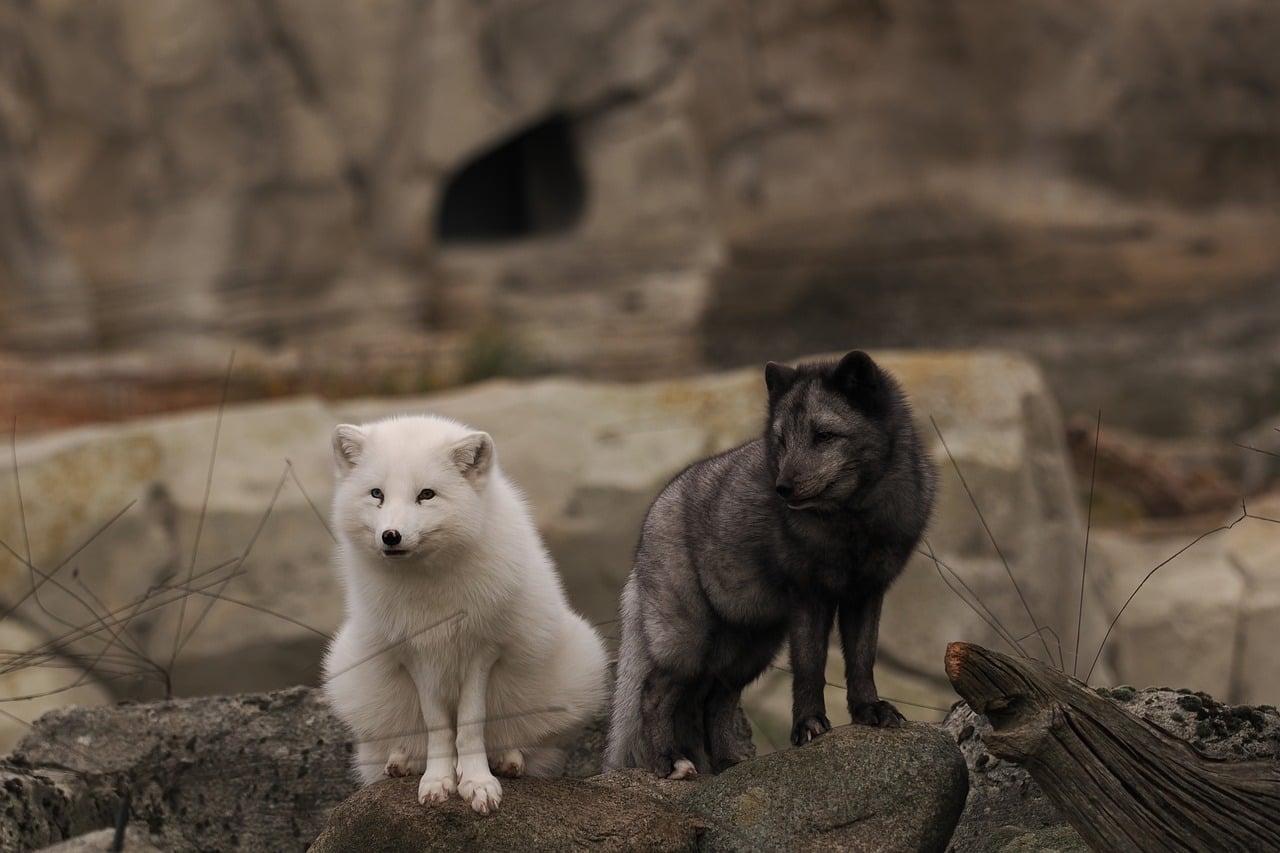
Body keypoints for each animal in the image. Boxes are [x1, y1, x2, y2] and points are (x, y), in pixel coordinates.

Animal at [322, 415, 609, 814]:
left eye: (426, 494)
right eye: (377, 494)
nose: (390, 536)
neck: (431, 590)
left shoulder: (482, 650)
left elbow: (471, 725)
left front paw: (476, 783)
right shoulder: (417, 655)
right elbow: (438, 727)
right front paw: (438, 781)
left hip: (583, 660)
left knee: (529, 747)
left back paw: (508, 760)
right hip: (347, 672)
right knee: (396, 746)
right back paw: (402, 762)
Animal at [604, 350, 935, 778]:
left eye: (824, 435)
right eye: (781, 441)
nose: (783, 488)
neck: (851, 524)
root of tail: (652, 516)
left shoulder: (866, 592)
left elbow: (862, 658)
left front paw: (868, 711)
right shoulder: (810, 595)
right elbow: (810, 666)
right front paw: (809, 725)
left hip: (749, 647)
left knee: (715, 699)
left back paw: (727, 764)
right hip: (689, 642)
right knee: (654, 693)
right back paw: (670, 761)